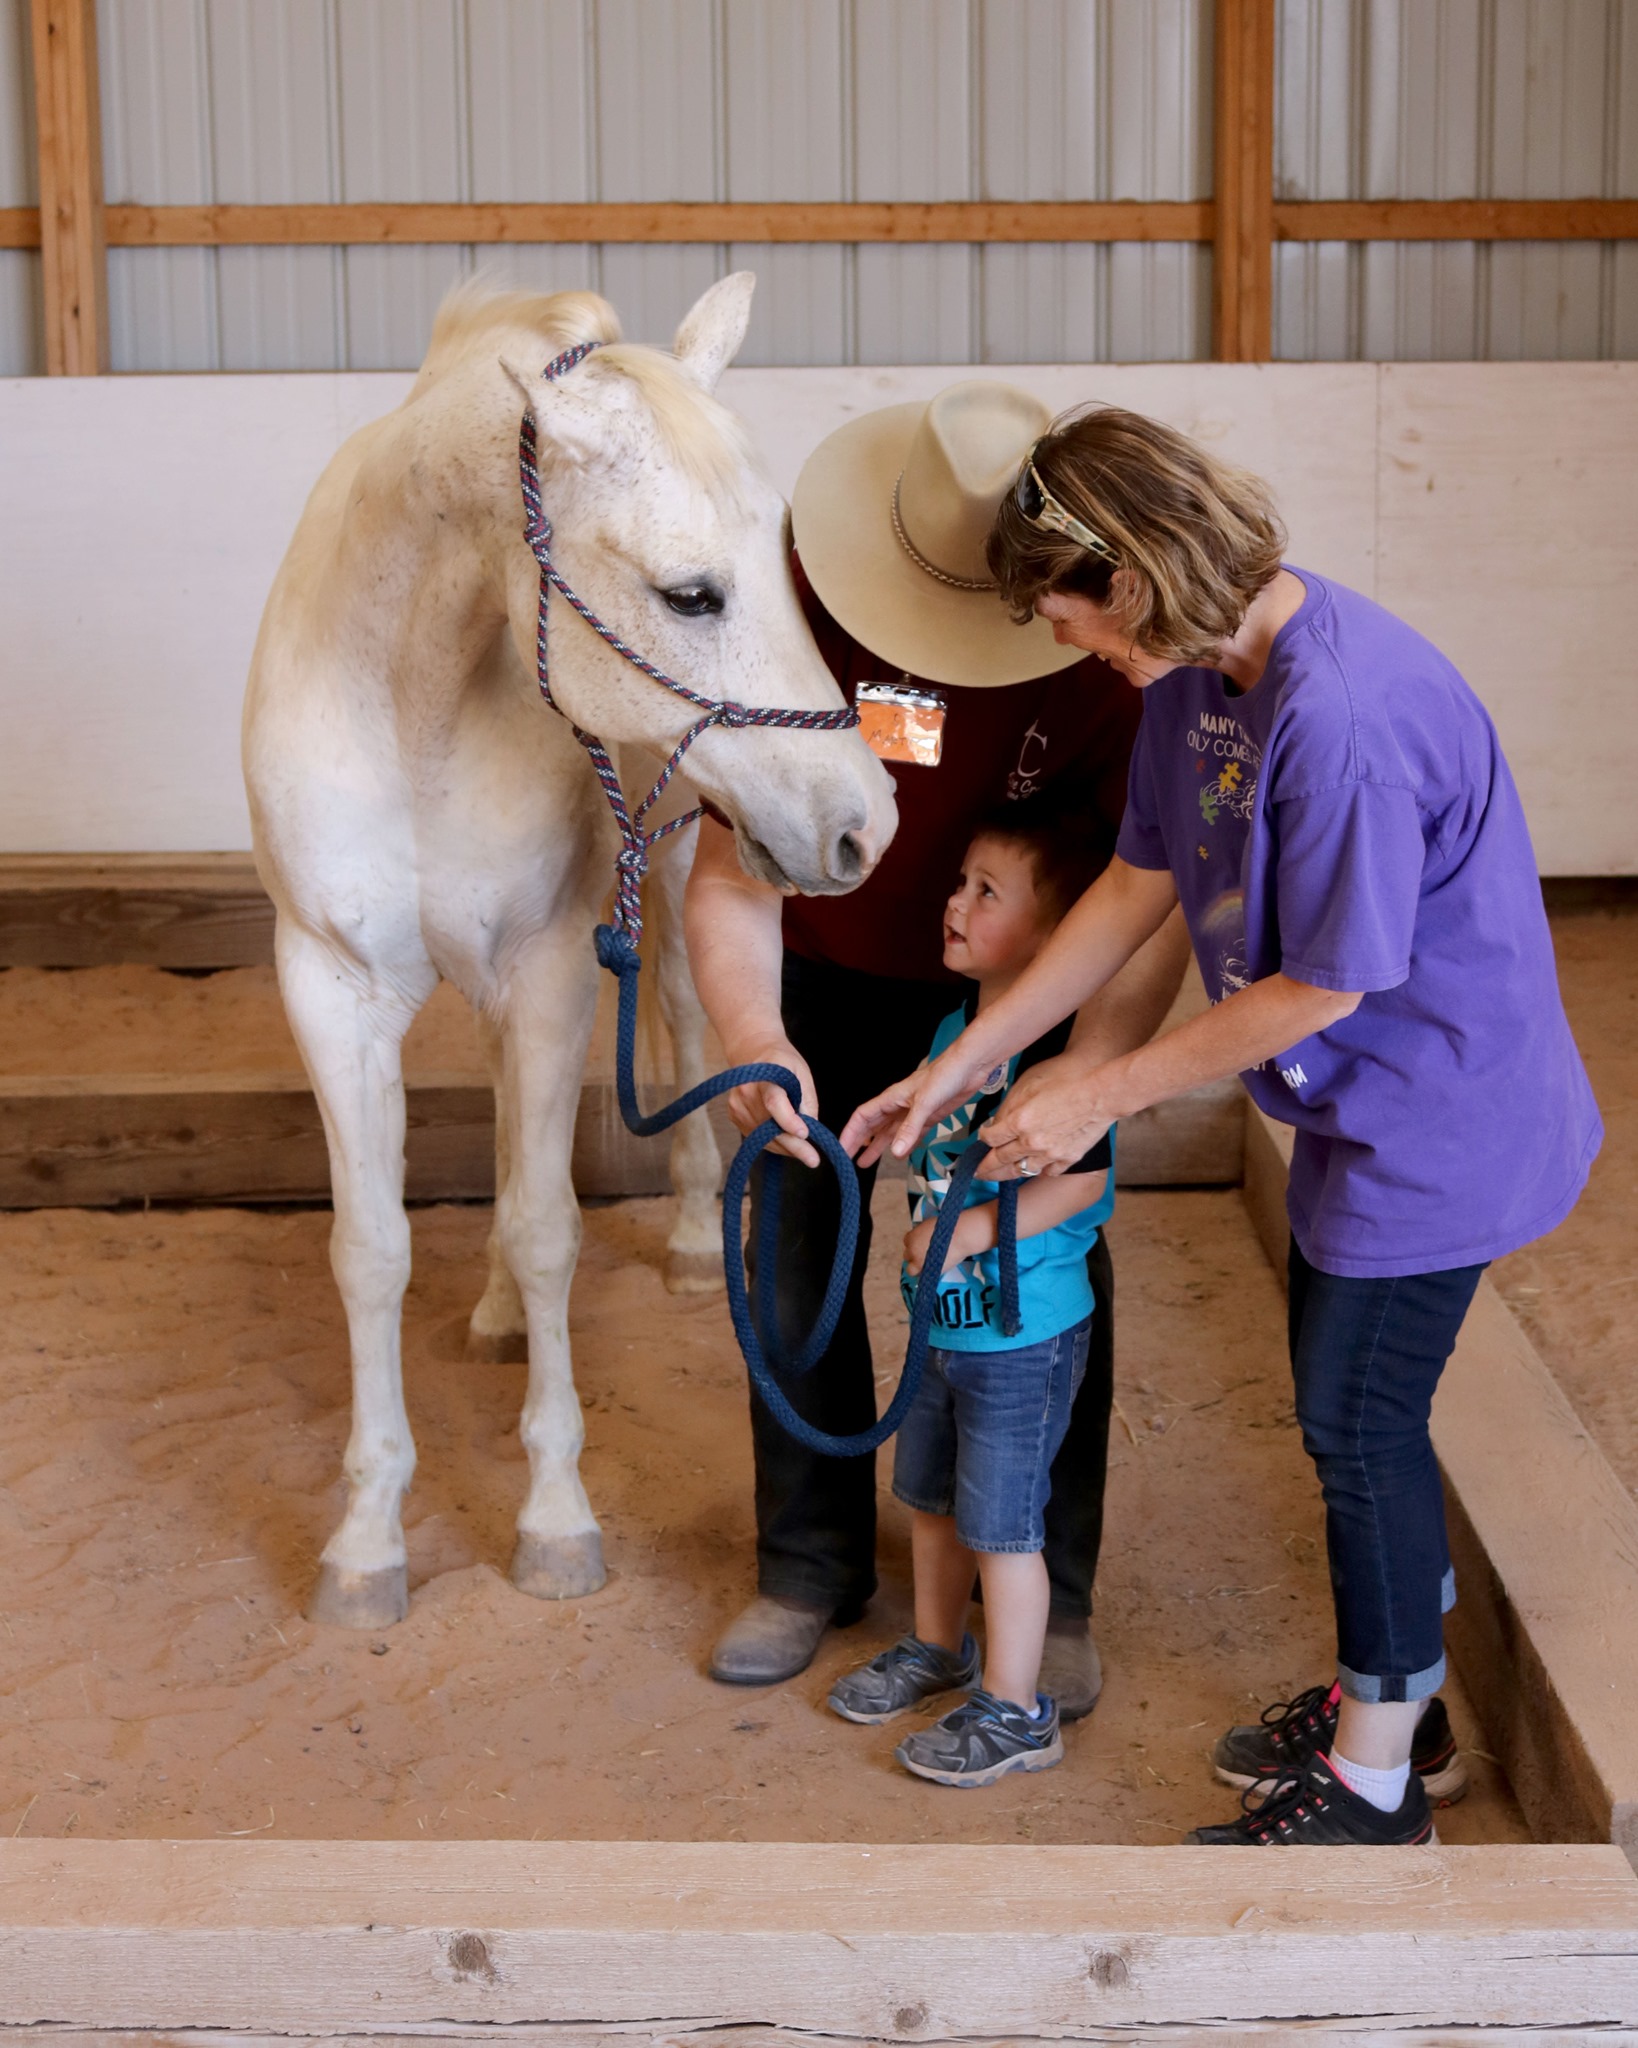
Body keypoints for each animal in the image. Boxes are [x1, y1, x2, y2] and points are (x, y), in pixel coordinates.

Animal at [243, 274, 897, 1631]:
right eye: (691, 594)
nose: (866, 820)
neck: (417, 694)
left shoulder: (545, 966)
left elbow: (550, 1227)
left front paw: (553, 1518)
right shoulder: (331, 987)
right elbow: (369, 1250)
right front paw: (367, 1538)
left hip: (685, 869)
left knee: (692, 1029)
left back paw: (696, 1239)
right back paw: (492, 1309)